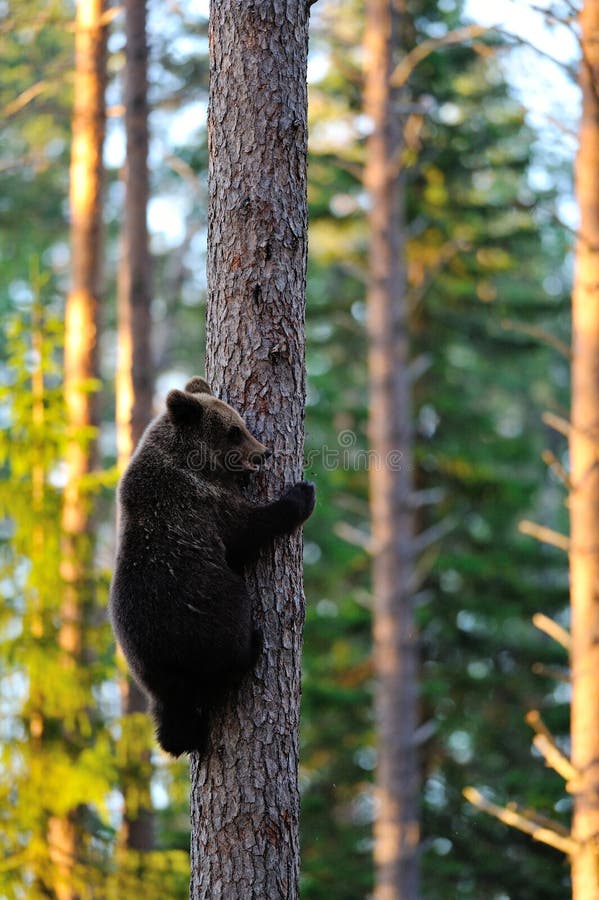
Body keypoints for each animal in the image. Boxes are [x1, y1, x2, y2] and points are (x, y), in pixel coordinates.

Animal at [109, 376, 315, 758]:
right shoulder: (202, 505)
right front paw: (301, 493)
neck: (190, 464)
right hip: (204, 612)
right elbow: (247, 531)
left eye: (243, 424)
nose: (264, 452)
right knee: (227, 648)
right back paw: (253, 643)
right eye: (233, 432)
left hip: (143, 665)